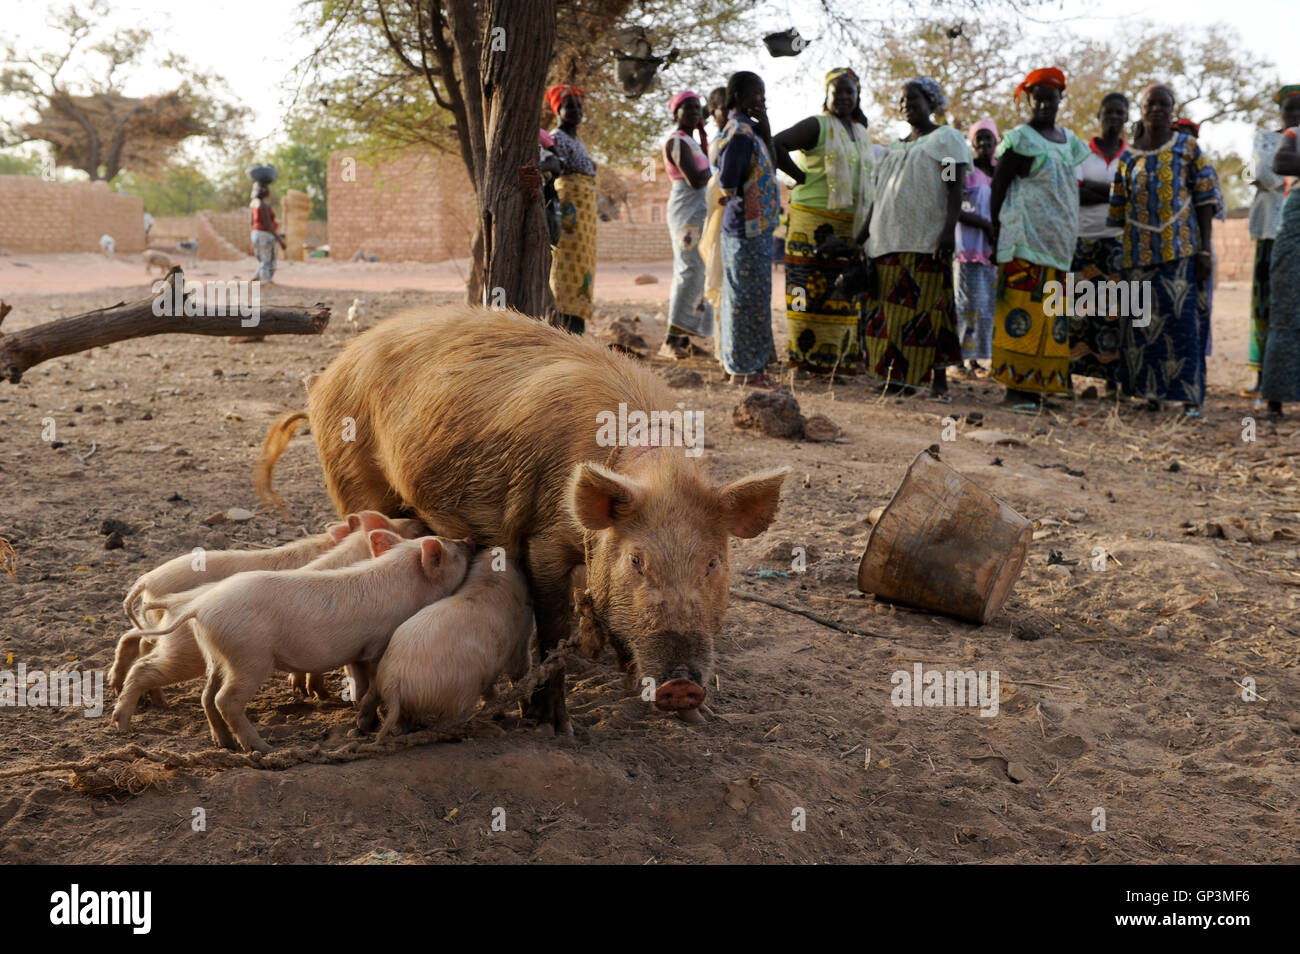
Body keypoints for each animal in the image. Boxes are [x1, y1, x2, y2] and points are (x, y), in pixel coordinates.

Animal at [109, 512, 424, 729]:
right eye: (402, 525)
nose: (418, 520)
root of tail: (149, 580)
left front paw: (311, 693)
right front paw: (321, 695)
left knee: (136, 644)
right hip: (185, 653)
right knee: (144, 660)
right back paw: (129, 717)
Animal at [129, 531, 471, 752]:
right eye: (451, 552)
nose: (469, 540)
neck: (406, 585)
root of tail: (200, 607)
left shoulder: (359, 651)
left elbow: (362, 684)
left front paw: (363, 720)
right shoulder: (378, 644)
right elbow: (374, 685)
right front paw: (369, 723)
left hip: (217, 655)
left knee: (206, 695)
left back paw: (224, 744)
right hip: (249, 657)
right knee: (225, 699)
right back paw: (262, 748)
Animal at [356, 549, 533, 739]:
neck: (488, 581)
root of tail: (394, 685)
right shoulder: (521, 633)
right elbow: (519, 668)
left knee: (404, 722)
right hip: (460, 694)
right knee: (447, 724)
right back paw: (492, 729)